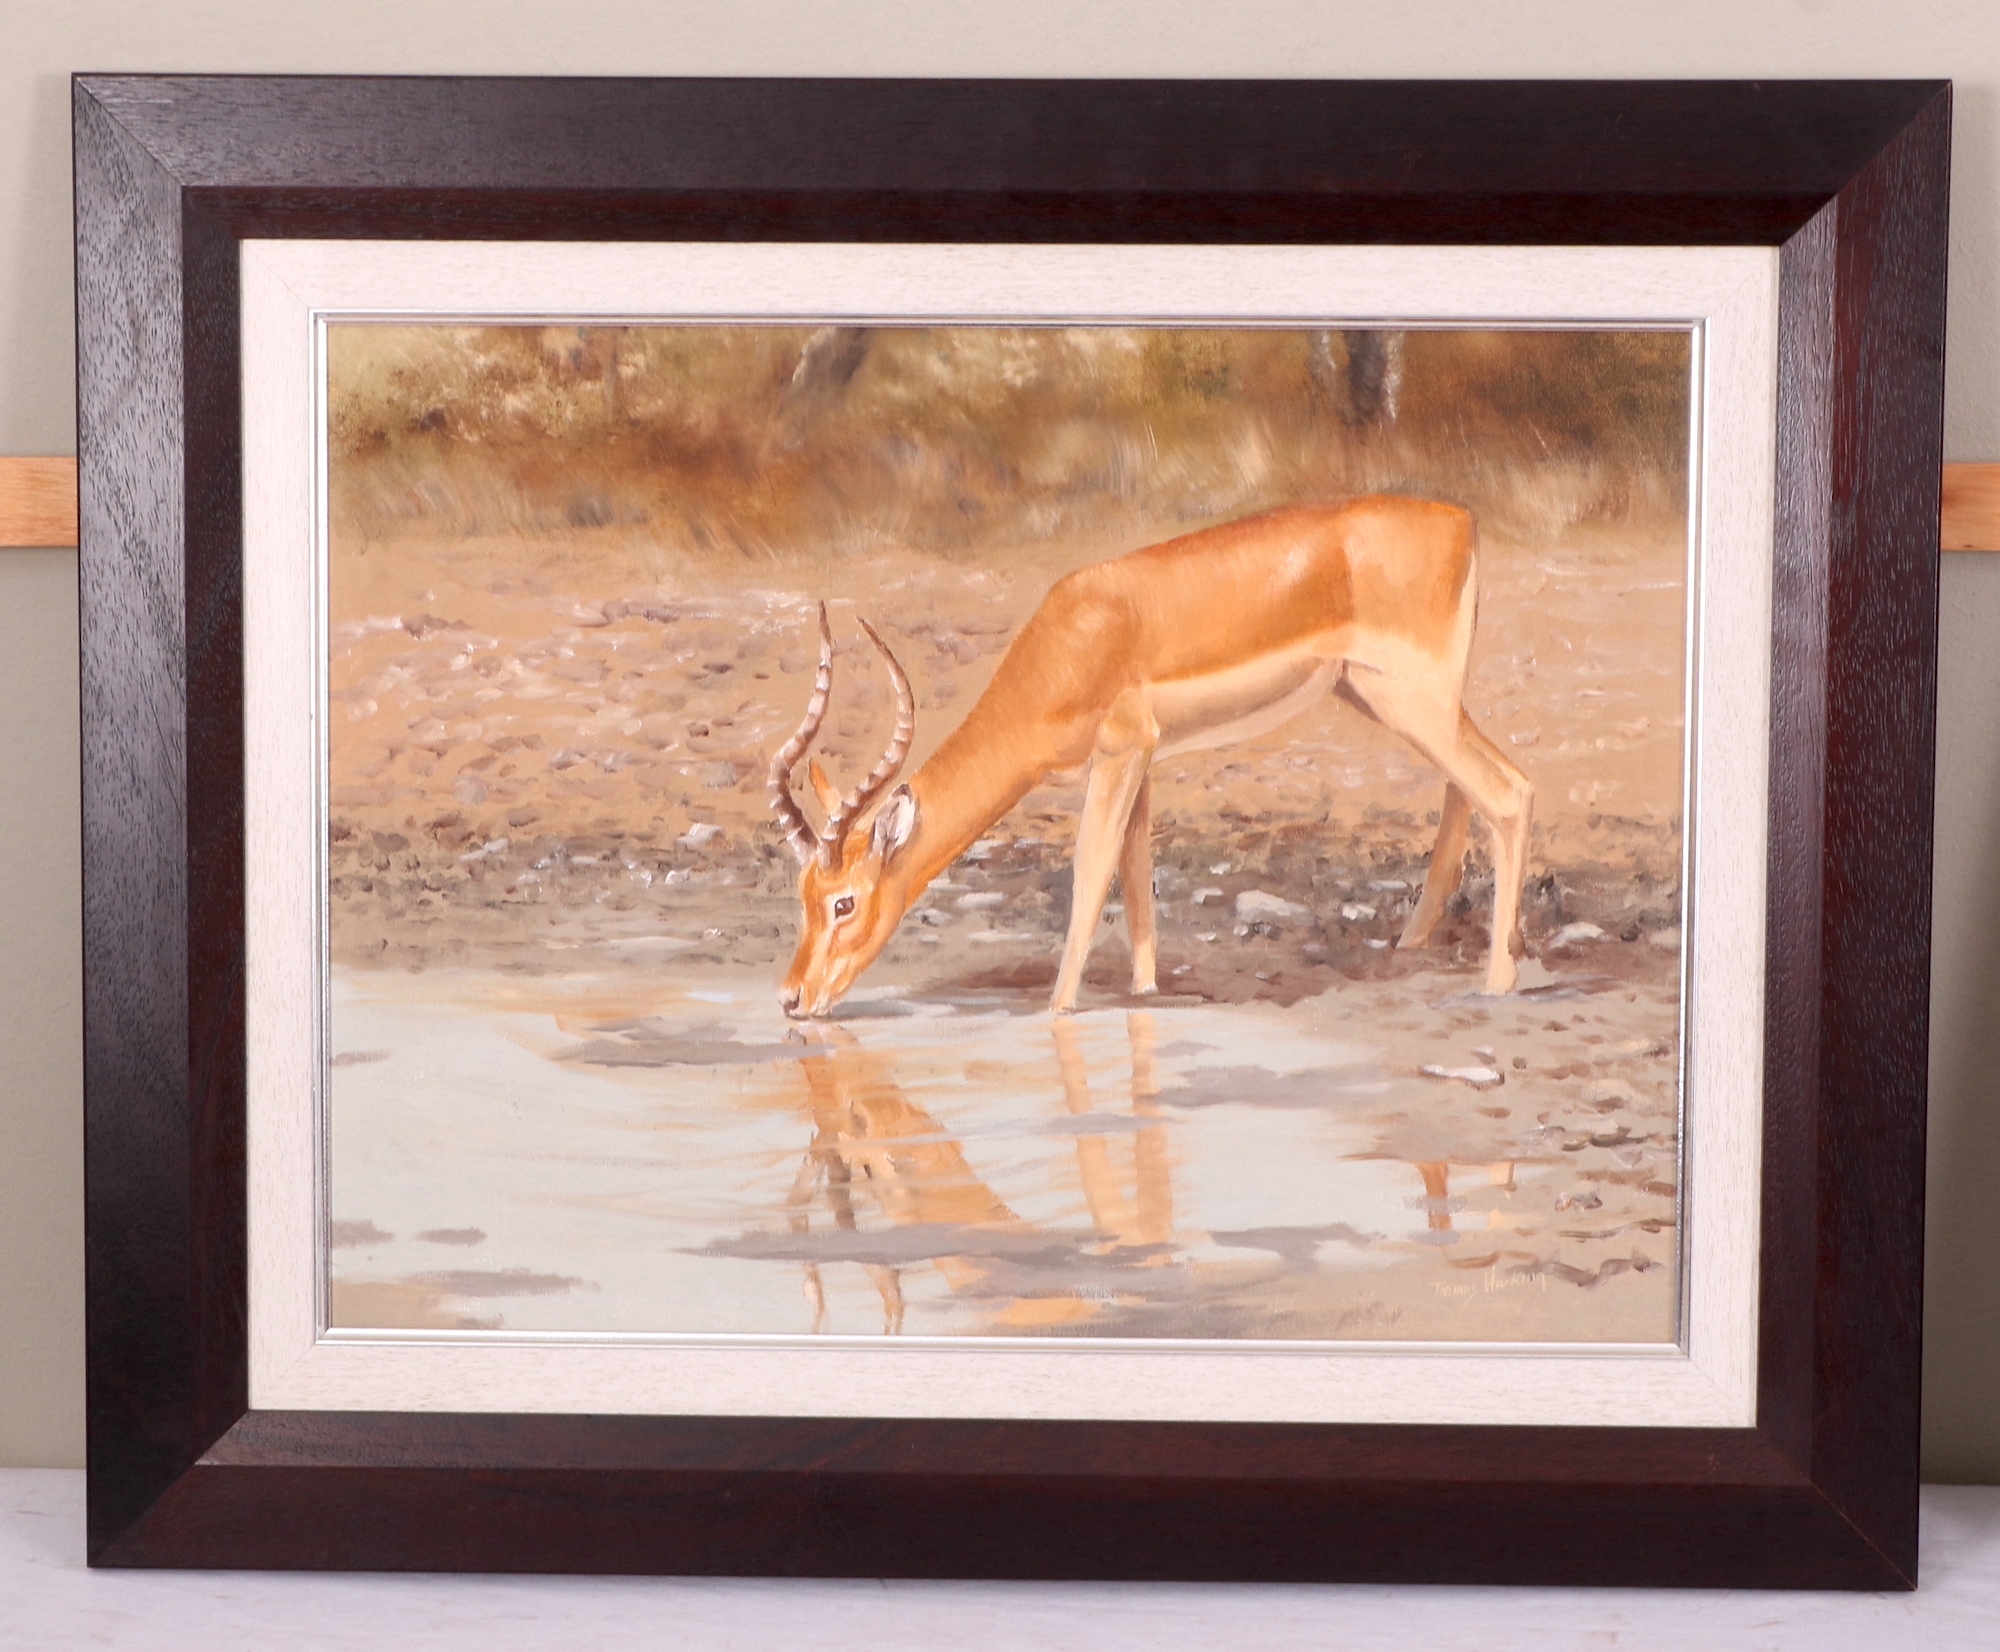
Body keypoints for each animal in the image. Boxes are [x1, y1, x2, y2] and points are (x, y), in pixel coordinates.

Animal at [769, 496, 1533, 1018]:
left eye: (843, 902)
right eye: (801, 895)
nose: (791, 999)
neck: (1070, 641)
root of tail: (1460, 521)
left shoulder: (1119, 750)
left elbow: (1091, 871)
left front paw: (1057, 1012)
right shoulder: (1142, 758)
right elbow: (1137, 876)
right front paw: (1142, 992)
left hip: (1410, 702)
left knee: (1509, 791)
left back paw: (1497, 985)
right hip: (1396, 700)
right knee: (1467, 791)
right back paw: (1414, 944)